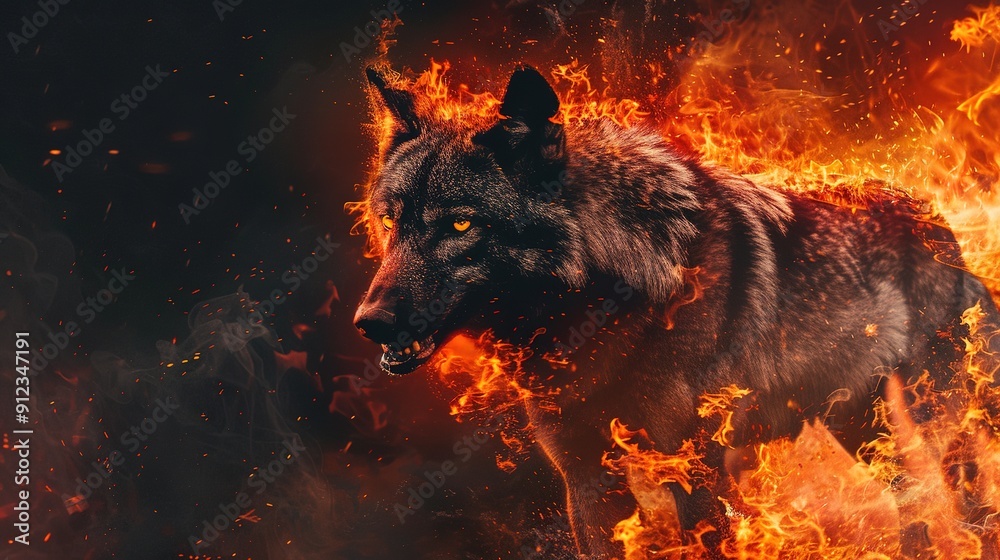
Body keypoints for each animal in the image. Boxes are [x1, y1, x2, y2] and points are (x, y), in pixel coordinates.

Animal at [353, 65, 1000, 558]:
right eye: (390, 221)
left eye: (461, 224)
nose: (368, 324)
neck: (602, 315)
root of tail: (937, 219)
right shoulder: (586, 479)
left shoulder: (693, 471)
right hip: (857, 426)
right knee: (907, 493)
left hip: (935, 415)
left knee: (953, 488)